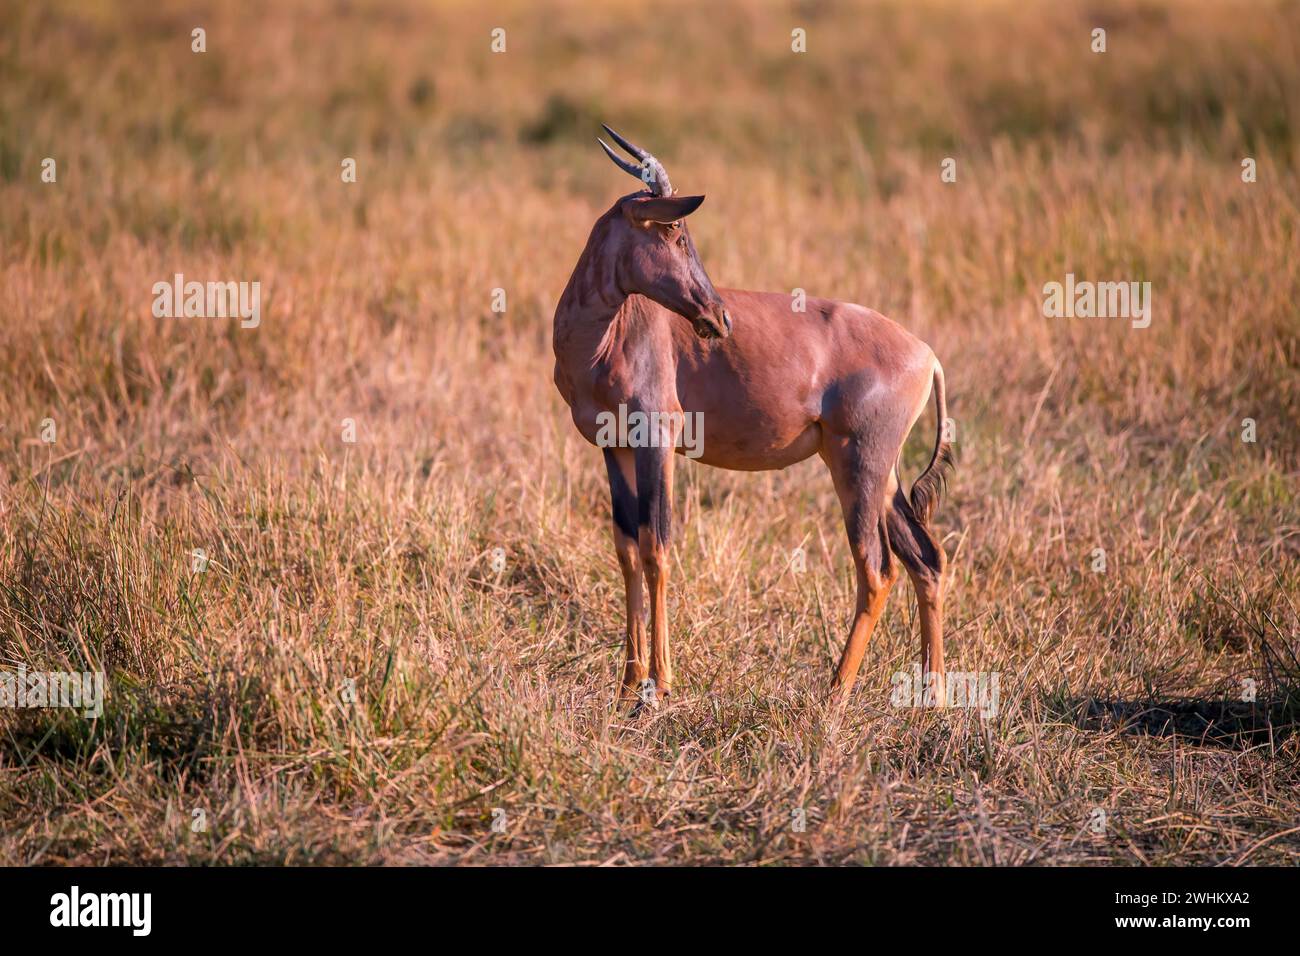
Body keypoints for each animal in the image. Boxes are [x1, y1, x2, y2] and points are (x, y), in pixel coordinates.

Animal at [552, 127, 953, 708]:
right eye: (674, 229)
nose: (718, 318)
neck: (609, 335)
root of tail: (926, 354)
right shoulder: (614, 447)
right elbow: (626, 549)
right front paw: (627, 686)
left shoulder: (658, 441)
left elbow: (657, 547)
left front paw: (660, 685)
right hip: (883, 474)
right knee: (927, 560)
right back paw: (933, 697)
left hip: (859, 464)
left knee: (877, 570)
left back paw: (834, 693)